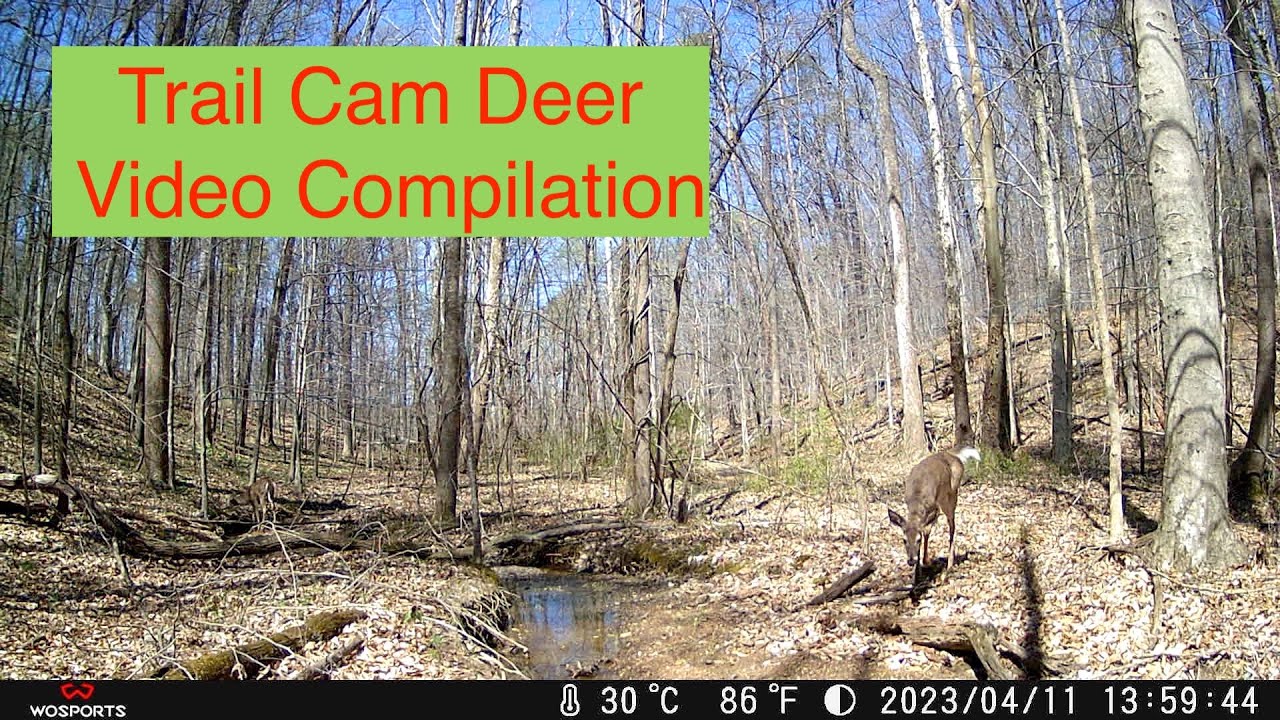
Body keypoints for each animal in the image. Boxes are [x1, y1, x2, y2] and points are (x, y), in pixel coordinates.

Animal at [887, 445, 980, 580]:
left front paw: (927, 562)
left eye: (918, 540)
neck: (917, 498)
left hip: (951, 495)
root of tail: (951, 454)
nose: (911, 561)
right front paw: (917, 574)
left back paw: (949, 566)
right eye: (904, 540)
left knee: (952, 525)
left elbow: (926, 531)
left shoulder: (934, 508)